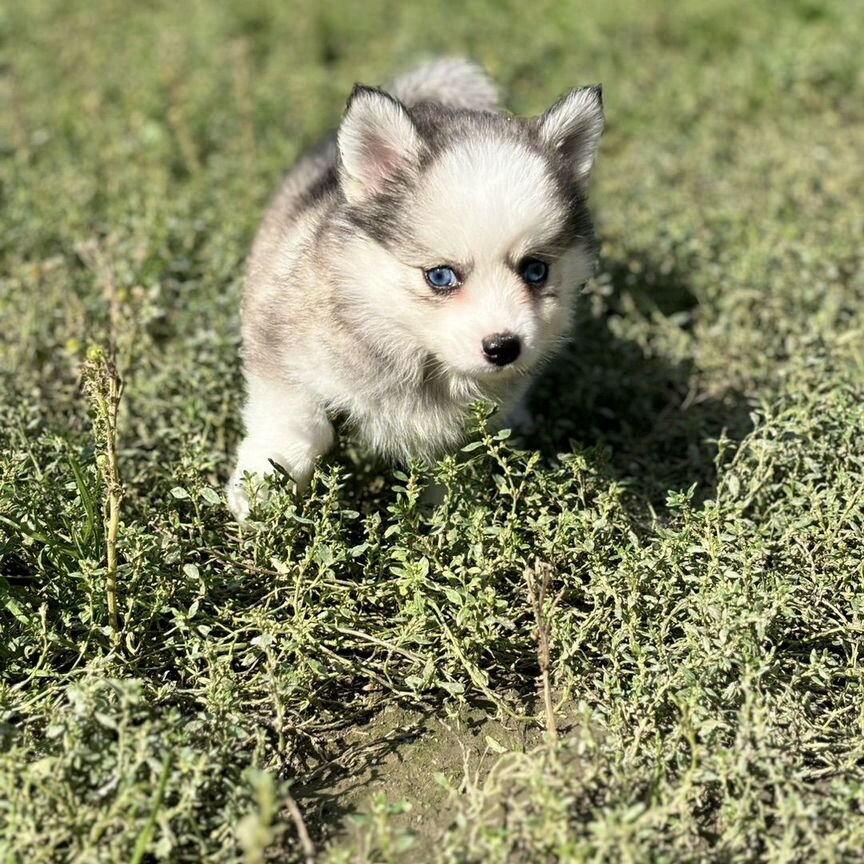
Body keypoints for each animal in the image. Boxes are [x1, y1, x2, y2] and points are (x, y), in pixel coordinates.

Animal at [231, 60, 608, 520]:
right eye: (440, 277)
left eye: (535, 270)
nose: (504, 348)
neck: (421, 361)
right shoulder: (279, 346)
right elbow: (298, 421)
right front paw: (262, 490)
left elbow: (445, 477)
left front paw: (444, 517)